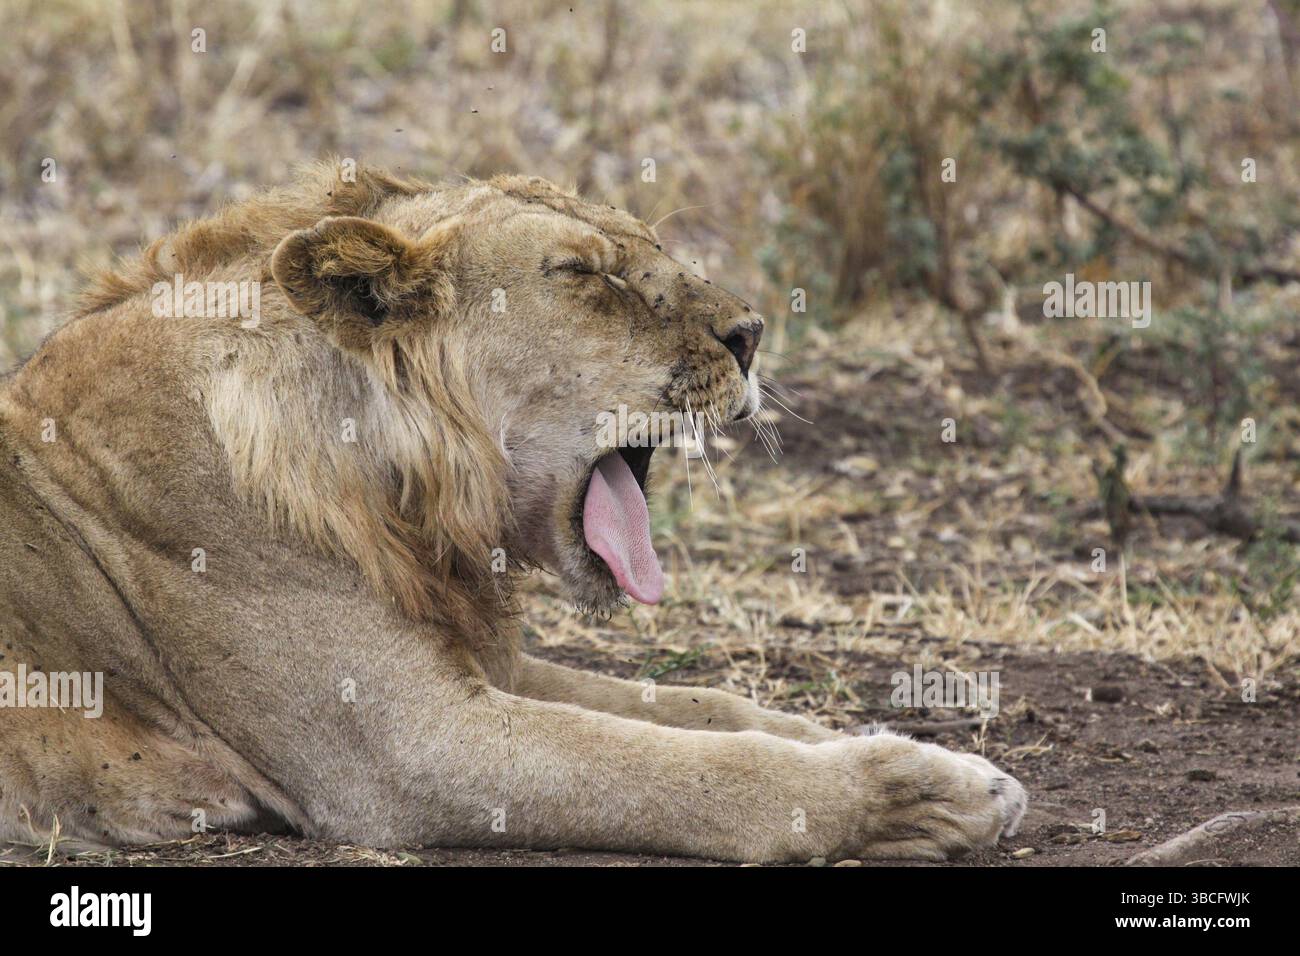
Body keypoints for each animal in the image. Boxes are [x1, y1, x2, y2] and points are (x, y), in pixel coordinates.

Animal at [0, 162, 1025, 862]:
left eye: (652, 249)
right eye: (585, 275)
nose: (753, 334)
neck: (401, 498)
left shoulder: (484, 665)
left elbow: (708, 707)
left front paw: (927, 755)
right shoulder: (405, 747)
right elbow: (680, 765)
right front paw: (912, 795)